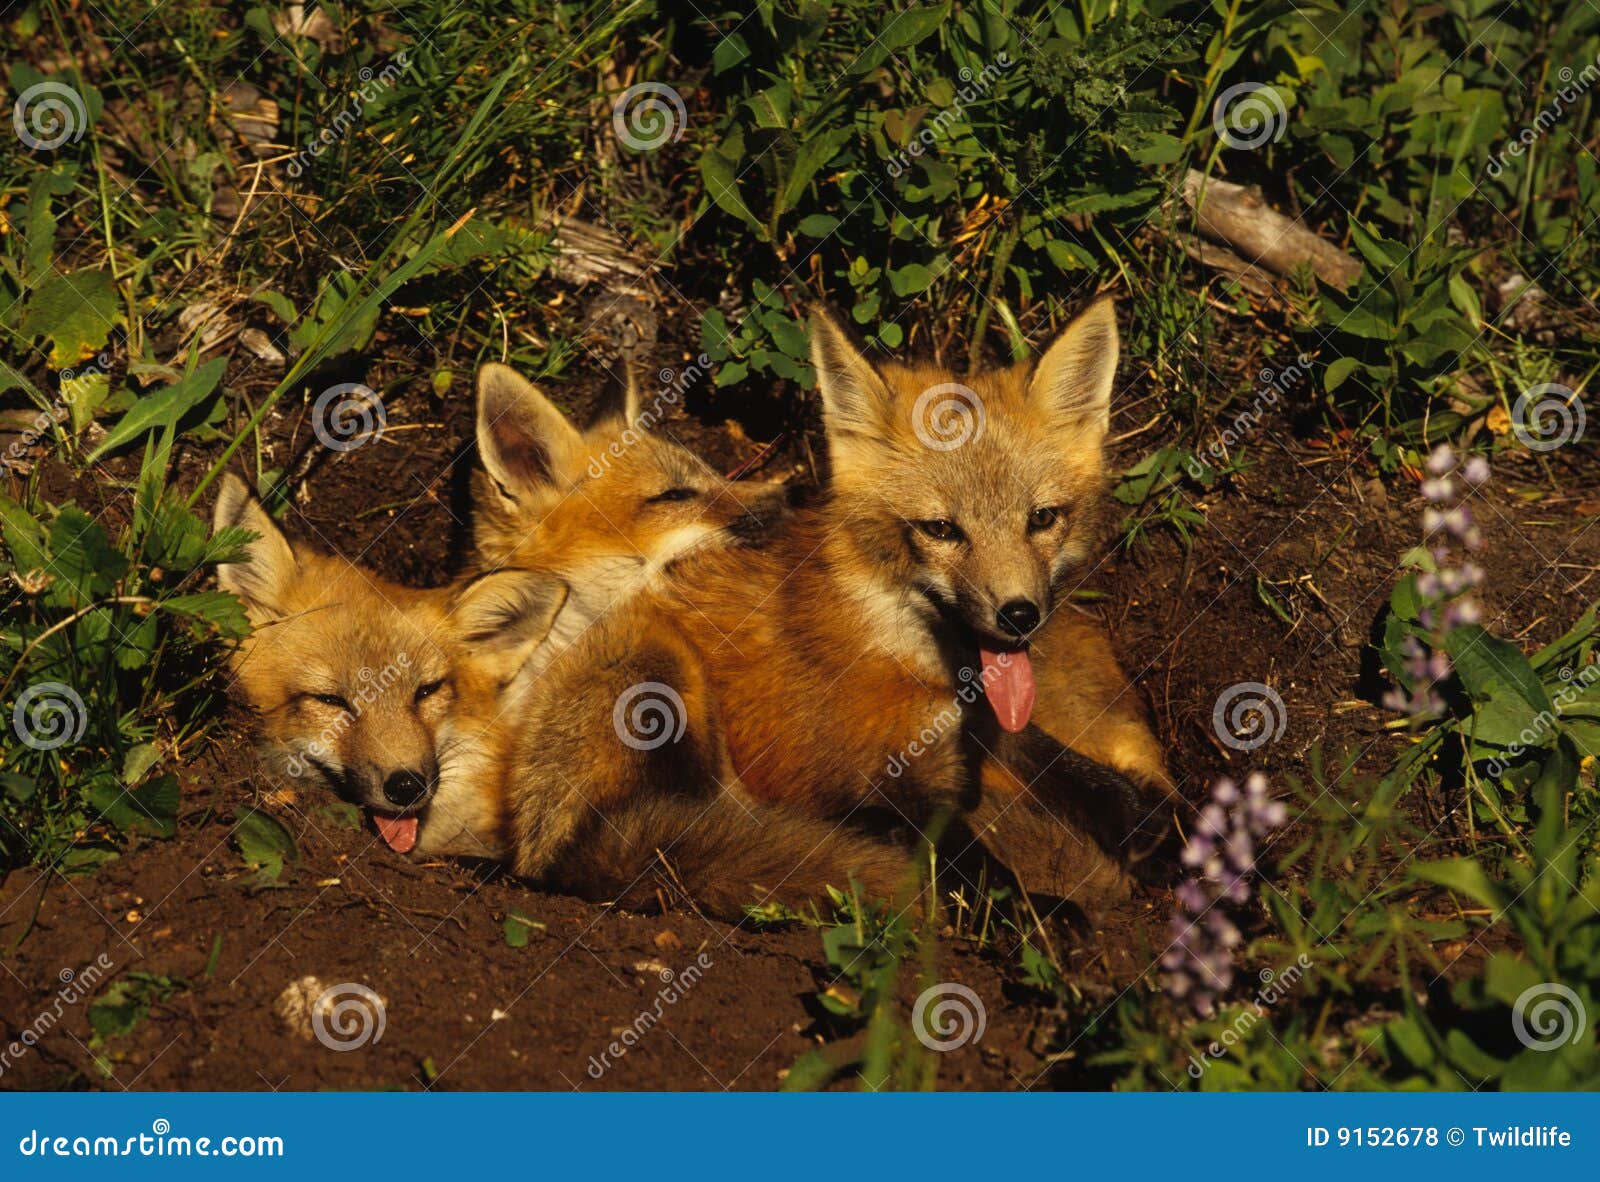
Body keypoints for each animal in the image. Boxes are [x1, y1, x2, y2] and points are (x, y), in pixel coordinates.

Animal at [473, 299, 1177, 906]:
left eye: (1043, 519)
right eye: (941, 530)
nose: (1020, 617)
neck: (892, 646)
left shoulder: (984, 730)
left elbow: (1086, 776)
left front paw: (1164, 833)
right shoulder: (850, 783)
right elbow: (977, 868)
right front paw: (1044, 921)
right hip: (652, 678)